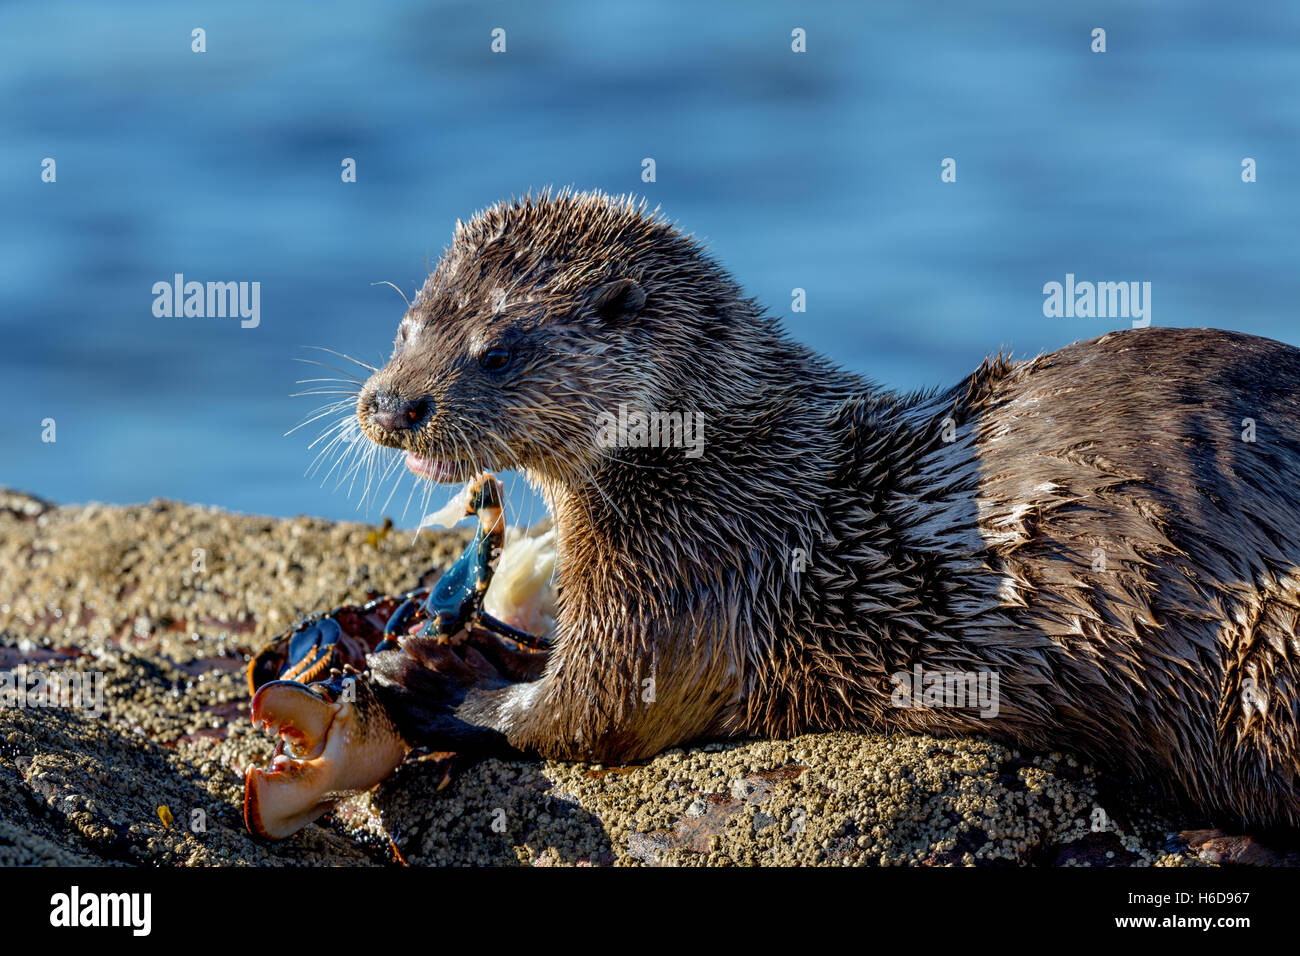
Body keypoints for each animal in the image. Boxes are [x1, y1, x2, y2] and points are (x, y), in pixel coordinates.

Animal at [343, 189, 1300, 830]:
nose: (392, 404)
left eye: (497, 352)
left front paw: (432, 681)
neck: (721, 464)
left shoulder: (695, 576)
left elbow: (593, 712)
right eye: (405, 327)